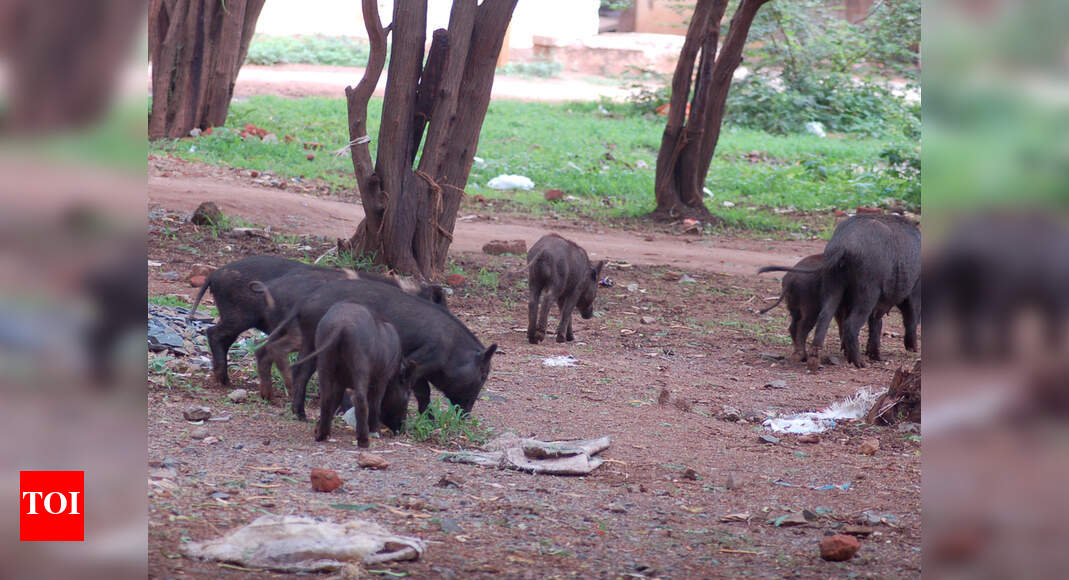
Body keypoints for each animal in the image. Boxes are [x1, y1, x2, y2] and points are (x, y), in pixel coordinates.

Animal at [262, 279, 496, 427]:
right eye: (483, 375)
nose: (465, 417)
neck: (451, 351)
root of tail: (305, 301)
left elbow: (423, 392)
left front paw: (430, 421)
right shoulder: (420, 359)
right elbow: (423, 391)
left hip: (310, 341)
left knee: (301, 370)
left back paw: (301, 415)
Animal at [291, 303, 408, 447]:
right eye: (406, 398)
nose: (402, 430)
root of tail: (341, 325)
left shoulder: (339, 383)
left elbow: (335, 401)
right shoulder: (382, 379)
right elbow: (375, 404)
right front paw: (376, 432)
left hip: (324, 362)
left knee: (326, 398)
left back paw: (321, 435)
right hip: (360, 365)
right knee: (361, 400)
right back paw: (364, 441)